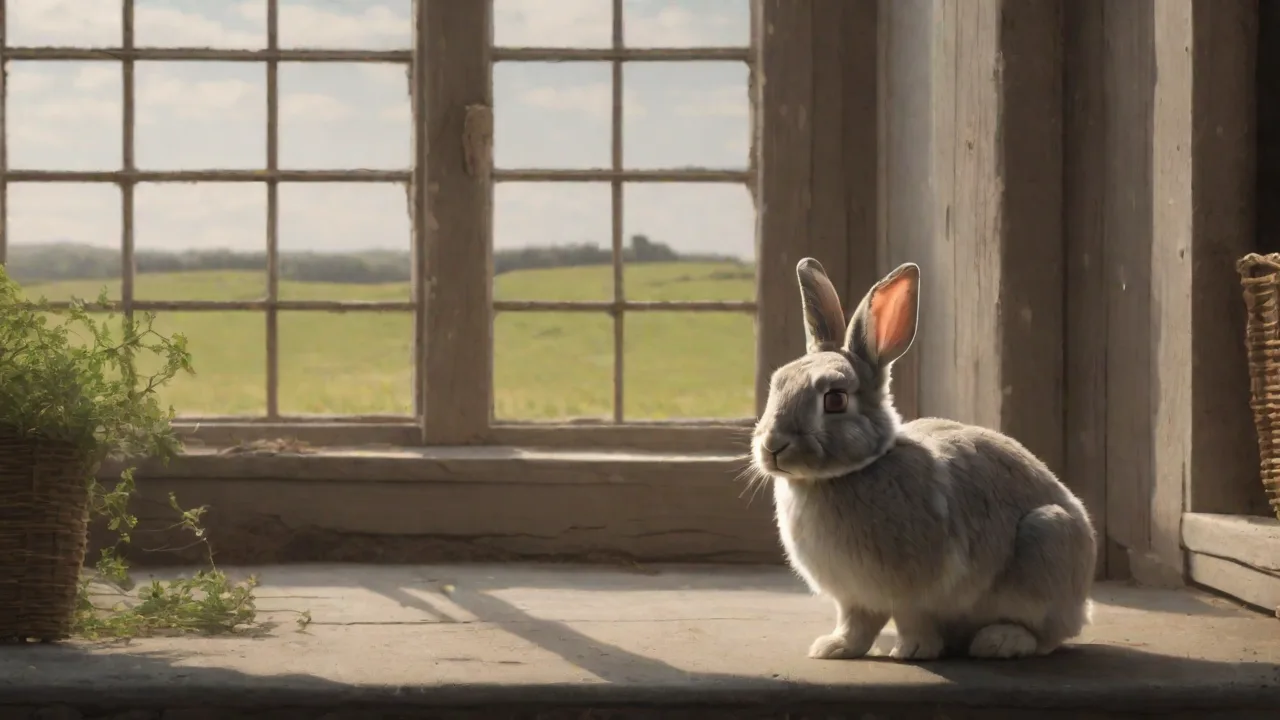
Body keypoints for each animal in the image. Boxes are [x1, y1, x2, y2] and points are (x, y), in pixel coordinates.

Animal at [750, 257, 1097, 661]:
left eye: (835, 399)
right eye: (778, 383)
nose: (773, 445)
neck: (852, 470)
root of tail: (1081, 603)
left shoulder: (918, 590)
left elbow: (912, 617)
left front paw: (912, 651)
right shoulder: (854, 598)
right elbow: (855, 624)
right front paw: (834, 648)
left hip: (1047, 540)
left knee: (1046, 635)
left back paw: (1000, 641)